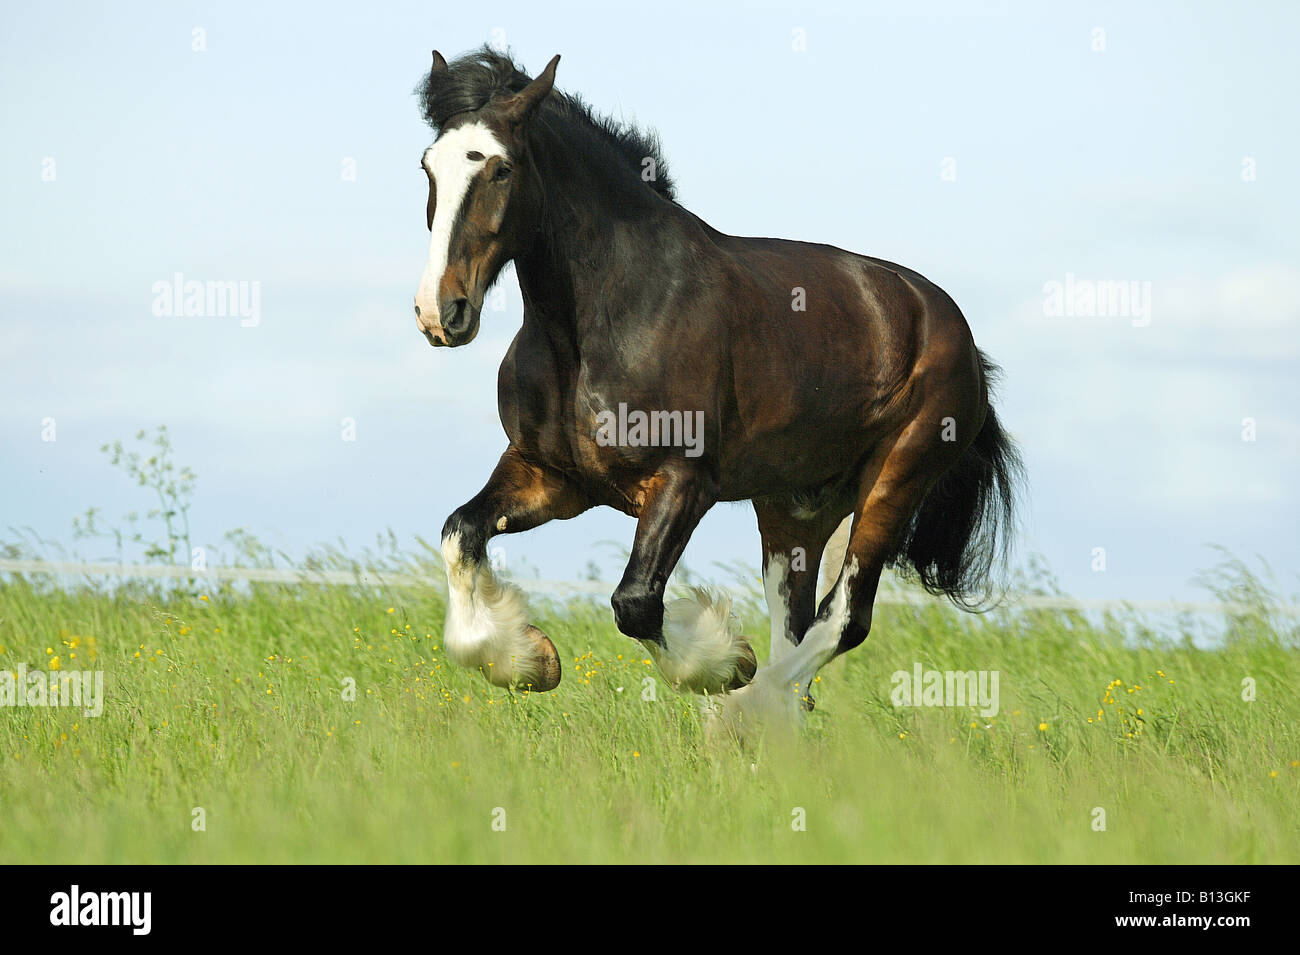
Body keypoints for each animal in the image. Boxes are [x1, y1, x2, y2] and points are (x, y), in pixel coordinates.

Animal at [411, 47, 1023, 733]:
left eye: (502, 169)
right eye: (429, 166)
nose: (441, 312)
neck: (604, 320)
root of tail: (952, 328)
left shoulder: (684, 480)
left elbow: (637, 603)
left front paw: (725, 663)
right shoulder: (552, 477)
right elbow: (460, 534)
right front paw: (527, 659)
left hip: (894, 481)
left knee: (843, 619)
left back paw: (744, 716)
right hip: (794, 508)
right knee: (797, 626)